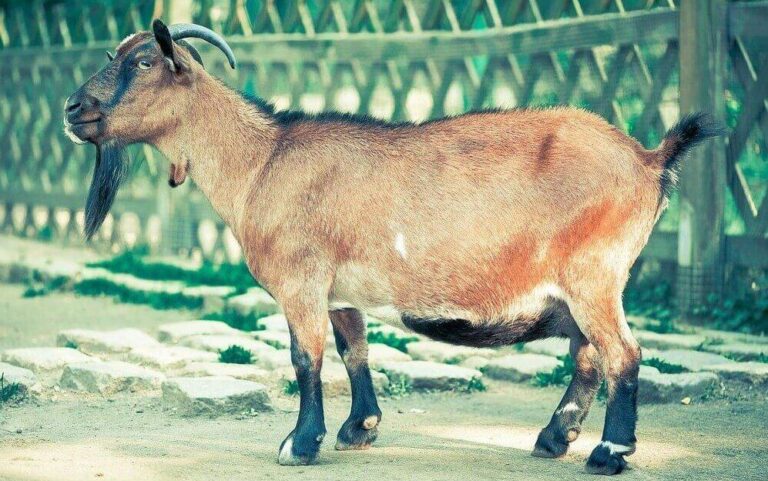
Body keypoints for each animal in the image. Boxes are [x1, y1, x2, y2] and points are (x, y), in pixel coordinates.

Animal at [64, 20, 722, 475]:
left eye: (143, 60)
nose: (73, 108)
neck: (261, 161)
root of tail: (649, 160)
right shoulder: (340, 290)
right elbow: (354, 351)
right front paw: (359, 429)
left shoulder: (301, 281)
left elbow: (306, 358)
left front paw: (299, 444)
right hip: (583, 284)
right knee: (587, 355)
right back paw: (552, 439)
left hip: (595, 273)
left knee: (623, 355)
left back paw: (609, 452)